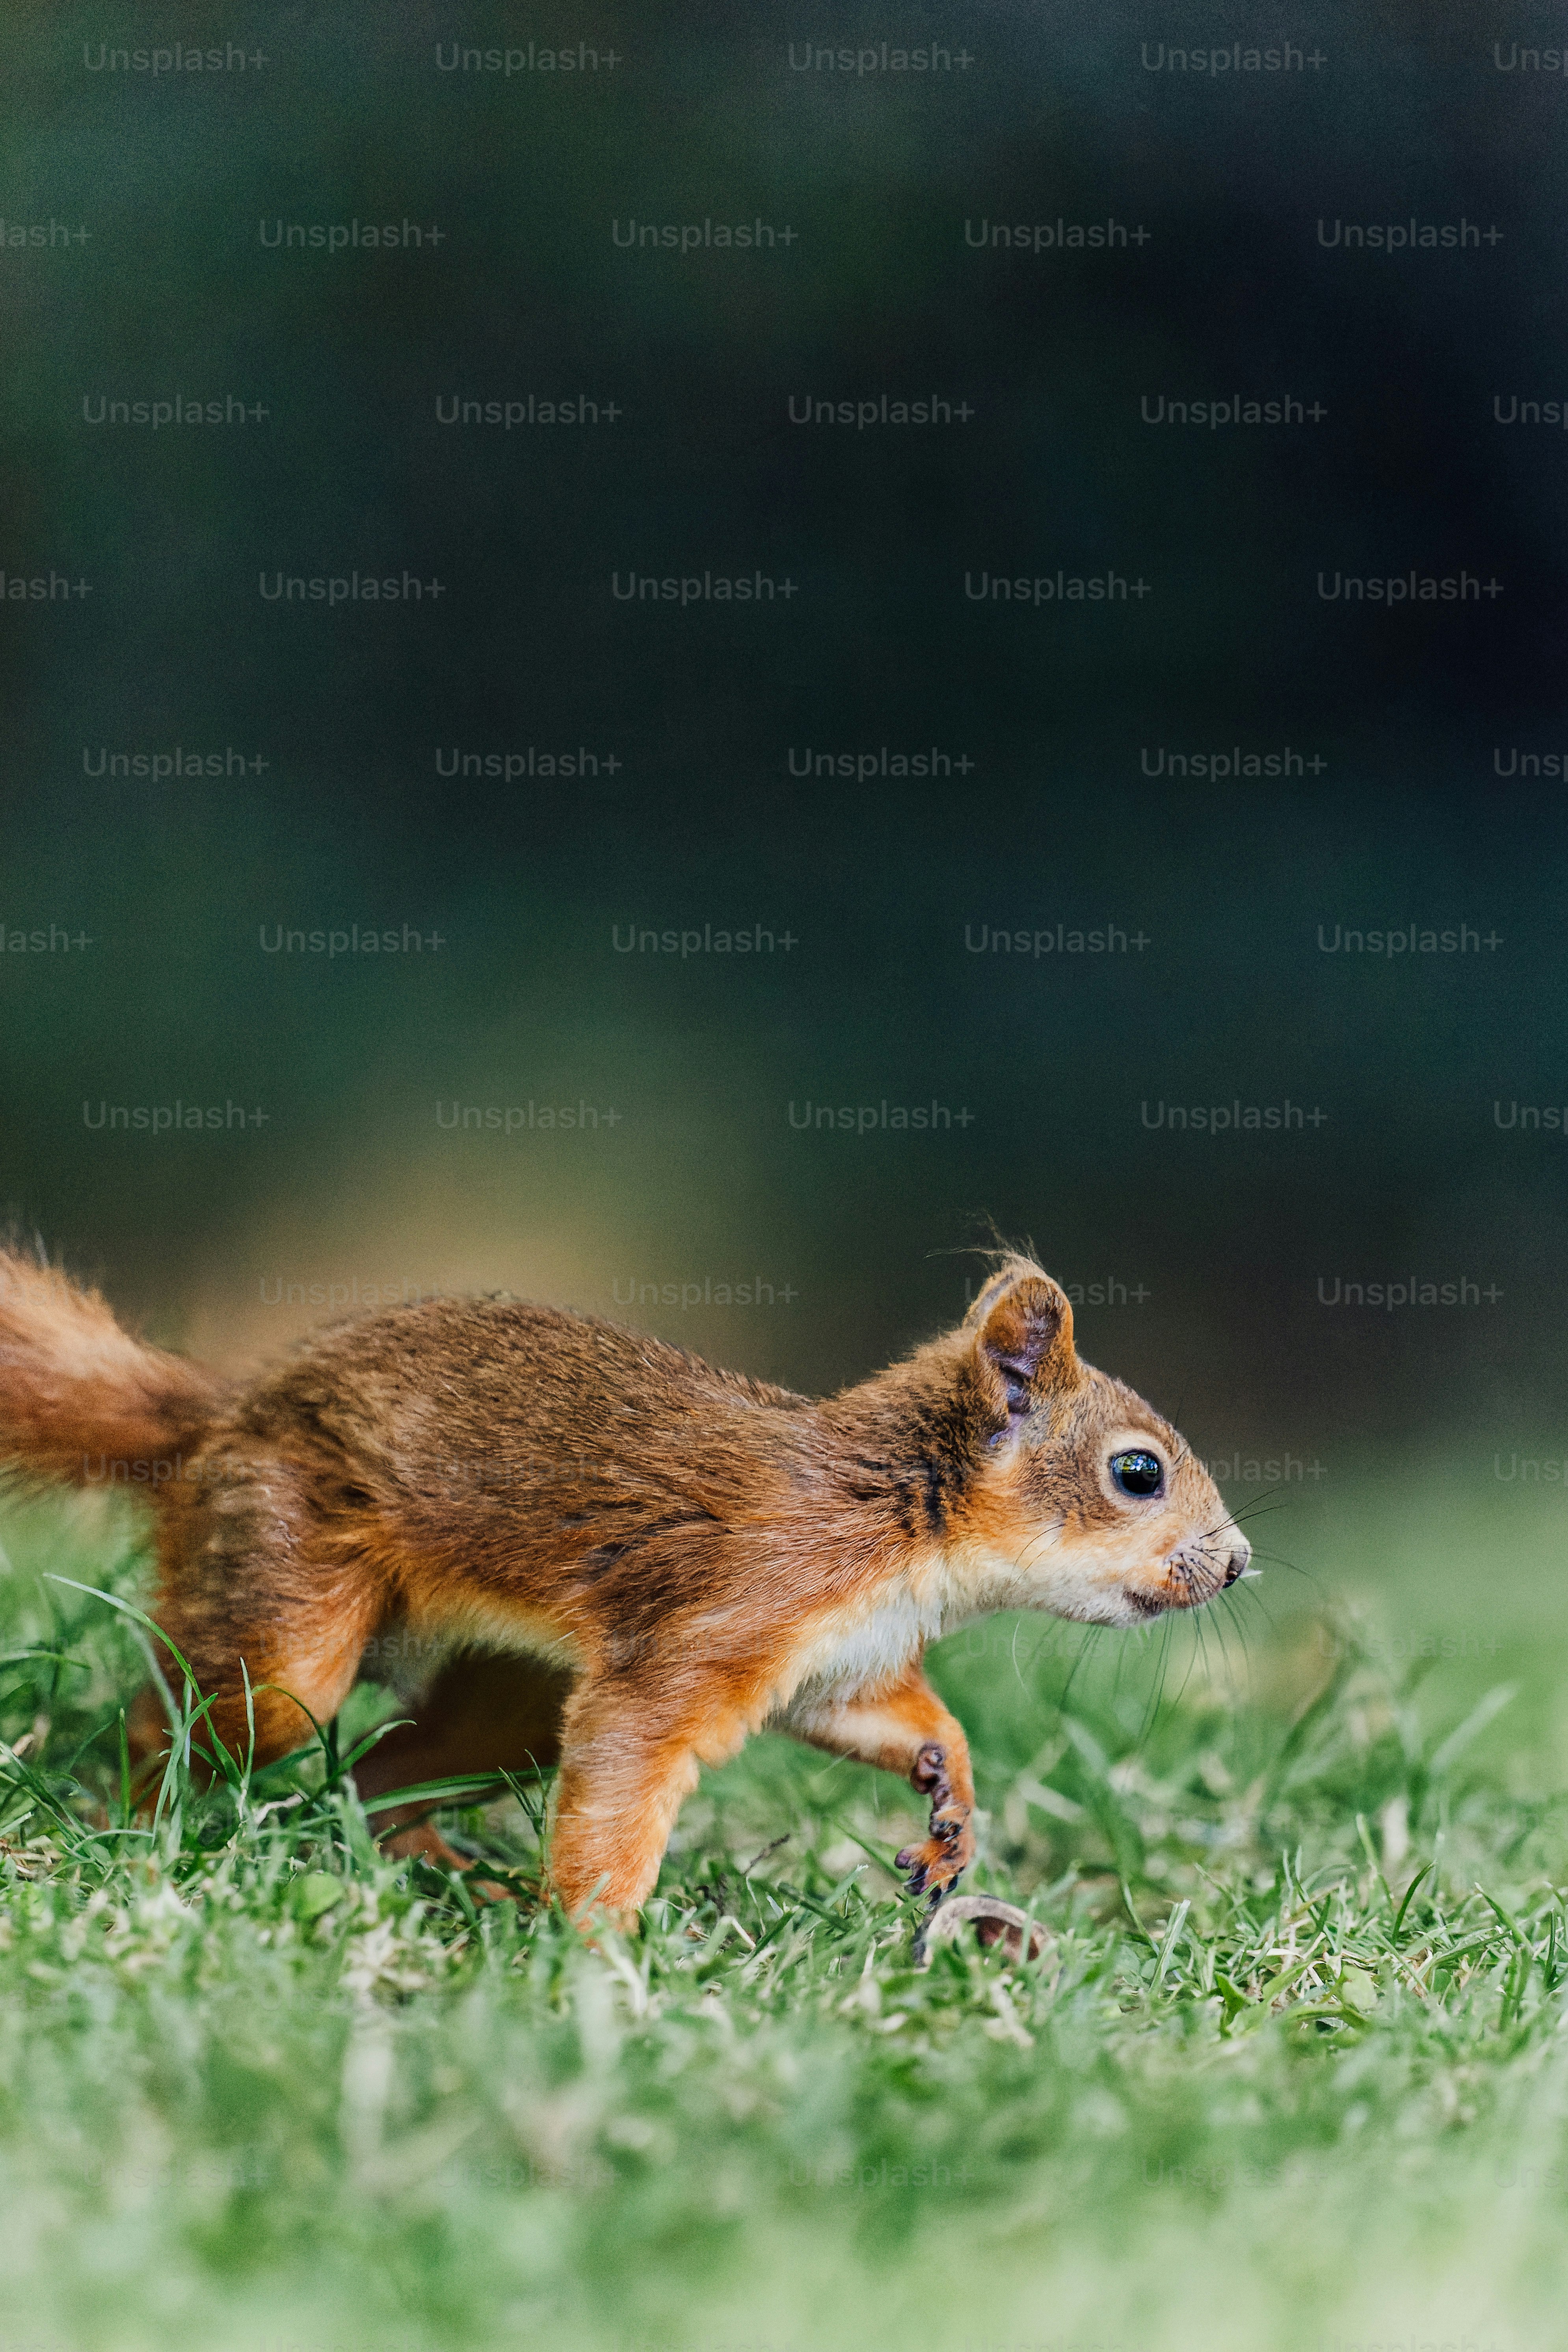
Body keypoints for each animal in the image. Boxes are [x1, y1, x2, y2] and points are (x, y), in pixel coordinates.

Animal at [0, 1245, 1249, 1926]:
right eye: (1136, 1472)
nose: (1236, 1562)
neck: (903, 1533)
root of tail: (221, 1418)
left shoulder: (833, 1664)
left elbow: (892, 1719)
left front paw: (952, 1805)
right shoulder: (733, 1606)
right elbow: (632, 1763)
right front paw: (602, 1945)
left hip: (508, 1697)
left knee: (384, 1773)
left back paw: (457, 1877)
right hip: (284, 1586)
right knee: (221, 1712)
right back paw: (139, 1818)